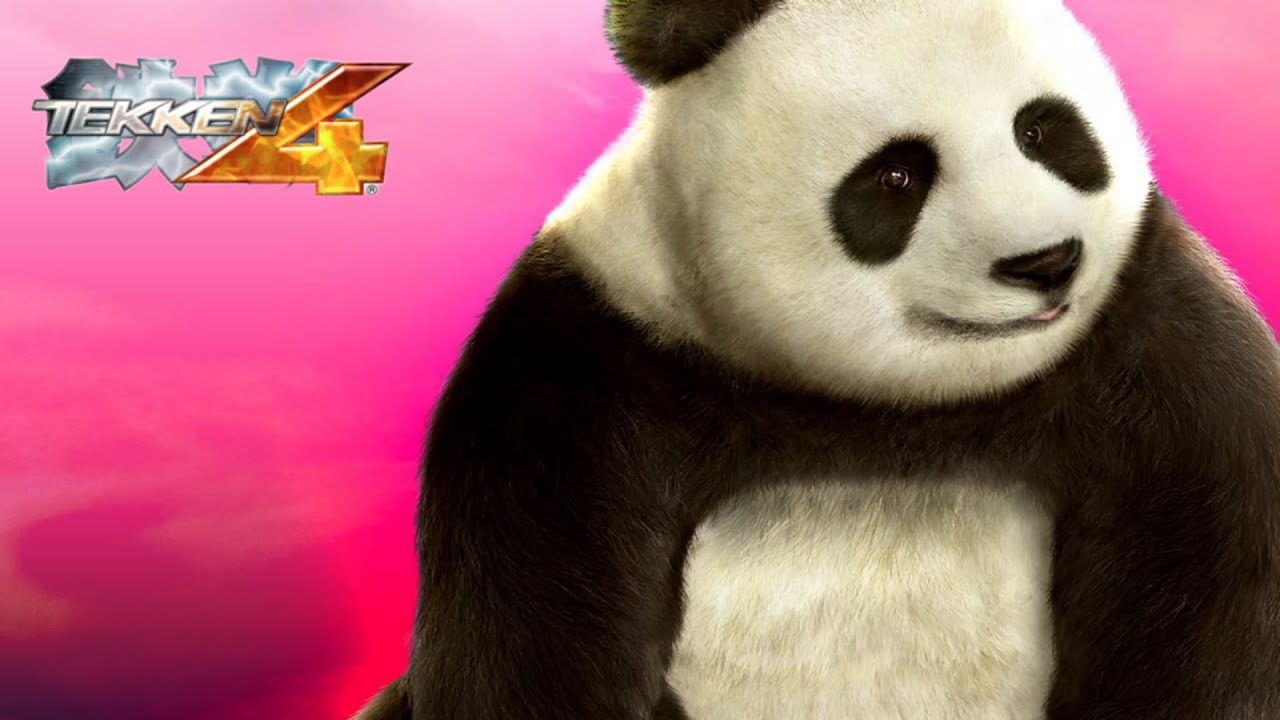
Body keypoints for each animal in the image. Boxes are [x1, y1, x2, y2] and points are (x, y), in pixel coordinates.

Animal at [355, 0, 1280, 718]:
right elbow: (535, 634)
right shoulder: (579, 373)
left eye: (1043, 130)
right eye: (898, 175)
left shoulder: (1162, 350)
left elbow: (1206, 596)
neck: (882, 412)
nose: (1046, 263)